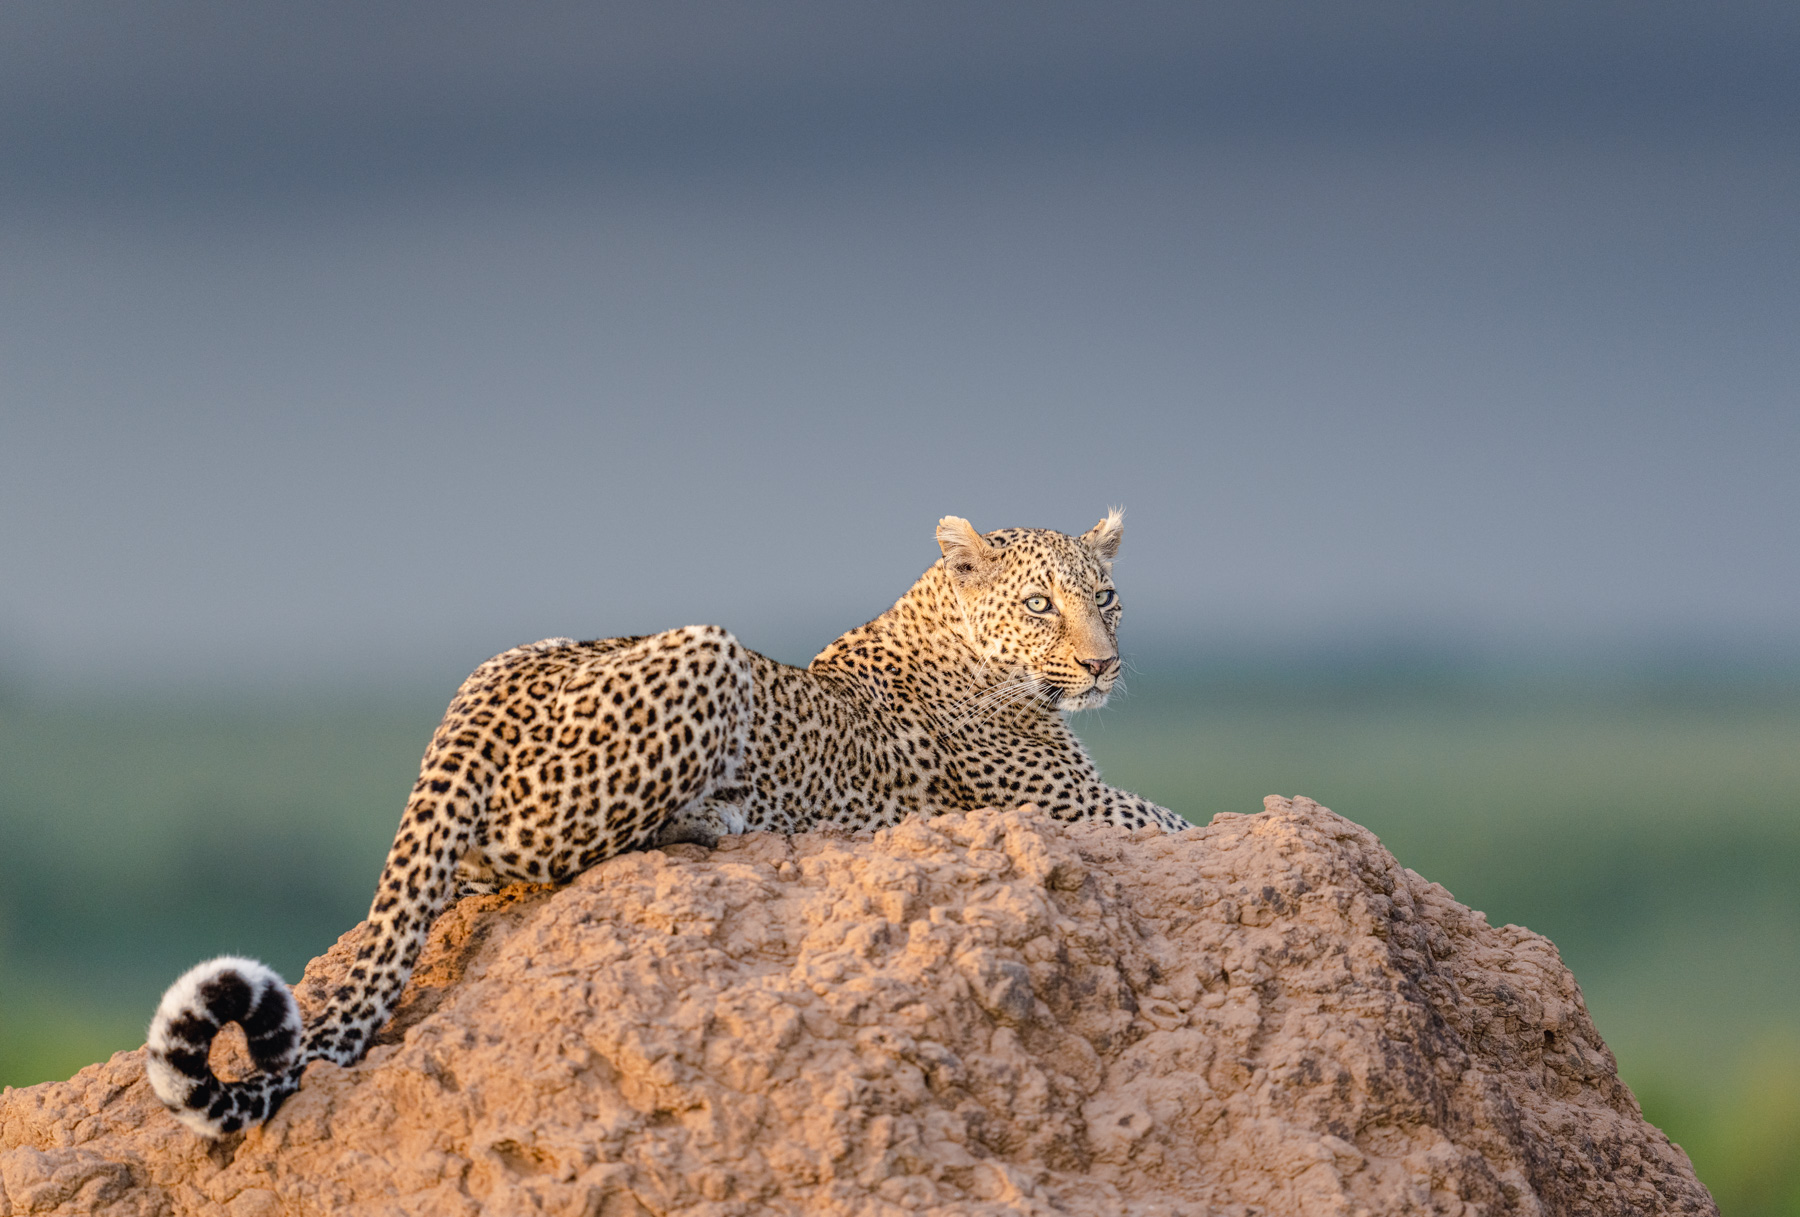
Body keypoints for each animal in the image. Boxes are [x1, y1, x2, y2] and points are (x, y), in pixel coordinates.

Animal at [146, 510, 1191, 1138]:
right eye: (1040, 604)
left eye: (1106, 596)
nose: (1103, 665)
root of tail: (470, 711)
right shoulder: (1077, 806)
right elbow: (1192, 820)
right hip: (707, 647)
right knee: (558, 852)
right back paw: (712, 819)